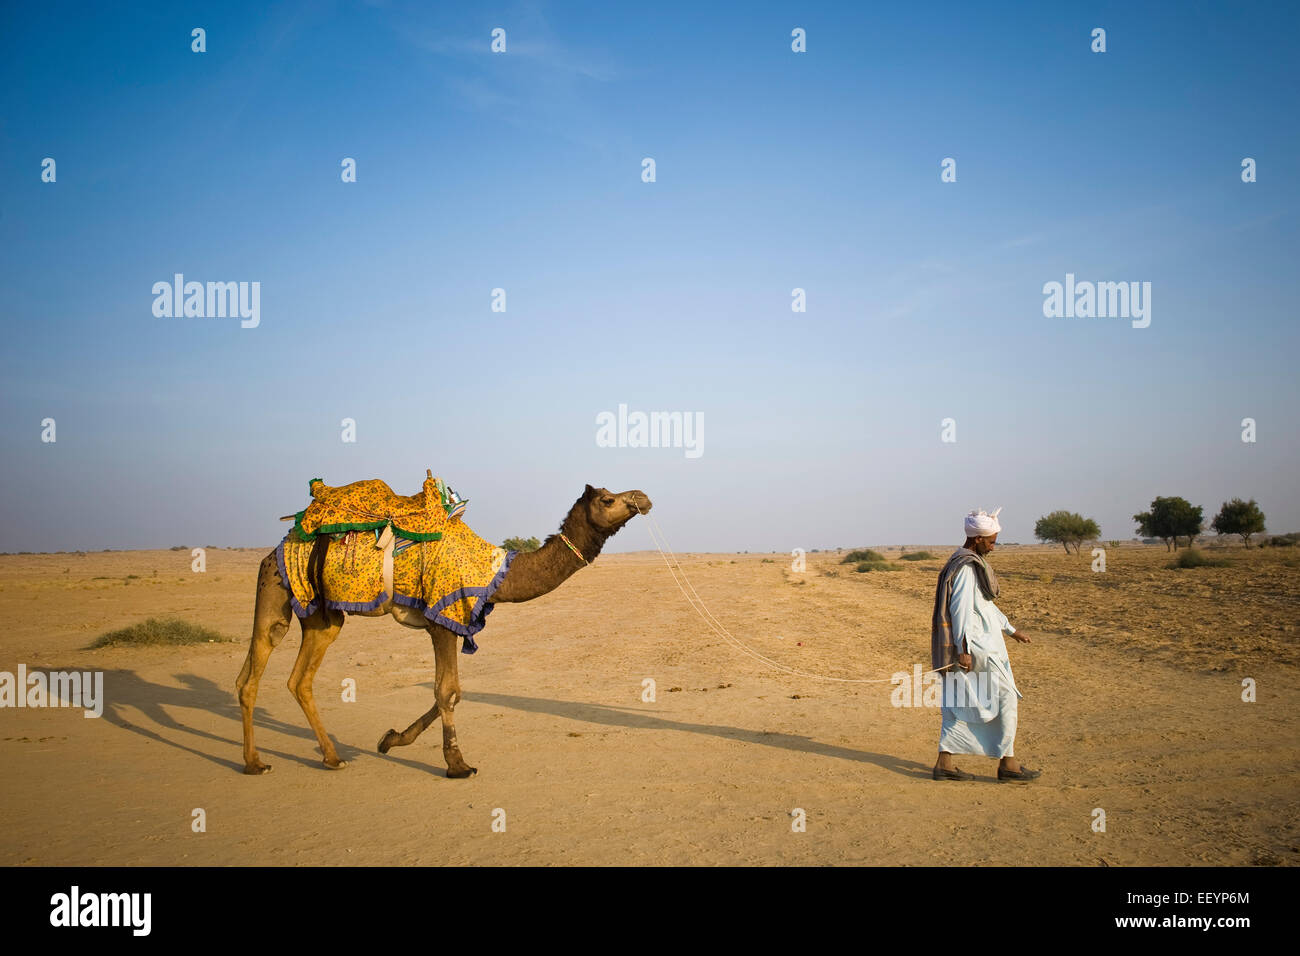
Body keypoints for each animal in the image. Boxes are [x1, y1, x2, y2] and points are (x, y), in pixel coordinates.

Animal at [236, 484, 651, 777]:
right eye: (609, 499)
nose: (642, 498)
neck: (494, 572)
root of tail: (273, 550)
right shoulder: (441, 619)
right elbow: (447, 692)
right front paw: (457, 764)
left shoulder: (451, 622)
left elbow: (449, 693)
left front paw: (391, 740)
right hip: (278, 589)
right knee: (257, 668)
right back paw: (259, 763)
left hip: (320, 615)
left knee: (294, 679)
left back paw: (328, 757)